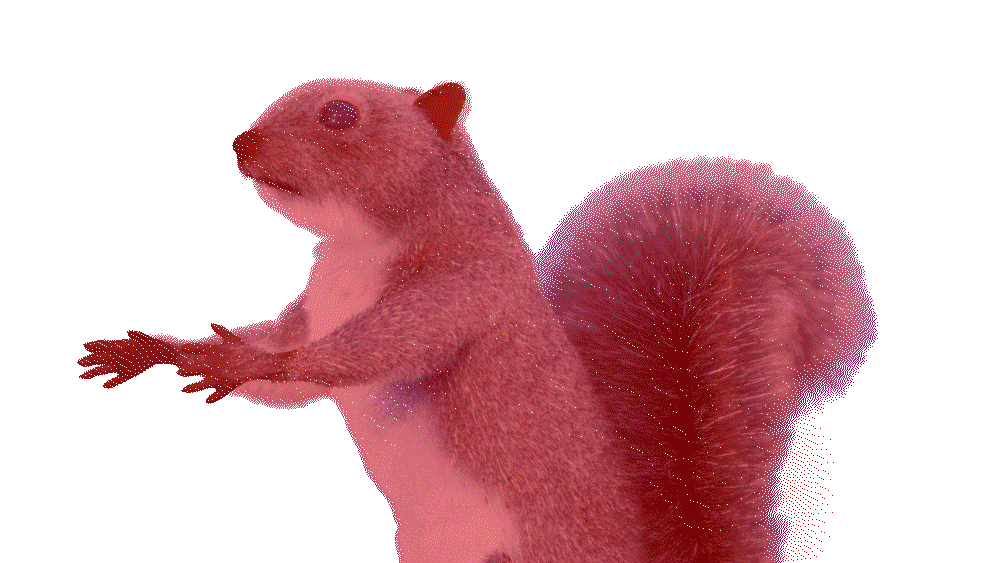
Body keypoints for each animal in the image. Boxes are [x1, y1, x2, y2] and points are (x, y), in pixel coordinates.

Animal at [78, 79, 874, 563]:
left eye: (340, 113)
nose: (241, 146)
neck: (360, 246)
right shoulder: (316, 309)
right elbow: (294, 372)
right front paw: (159, 350)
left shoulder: (465, 289)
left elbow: (368, 349)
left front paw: (242, 361)